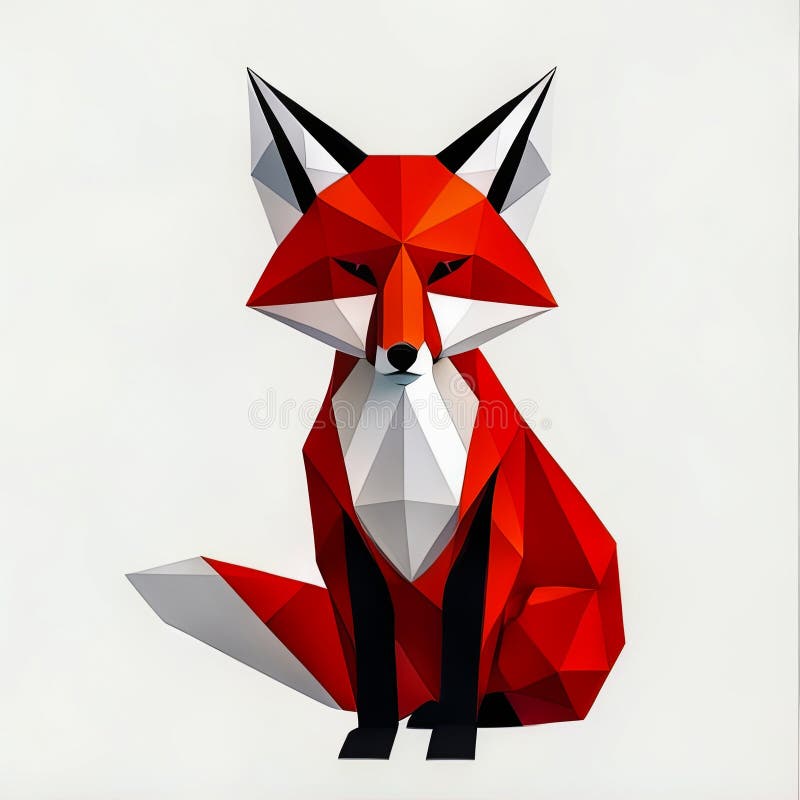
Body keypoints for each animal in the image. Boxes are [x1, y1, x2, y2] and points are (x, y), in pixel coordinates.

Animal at [128, 67, 624, 761]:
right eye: (357, 268)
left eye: (448, 267)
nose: (402, 352)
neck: (404, 455)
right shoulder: (347, 545)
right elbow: (373, 674)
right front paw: (370, 742)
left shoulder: (489, 534)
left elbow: (465, 646)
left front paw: (454, 745)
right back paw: (420, 715)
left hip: (546, 618)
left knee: (540, 702)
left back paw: (480, 716)